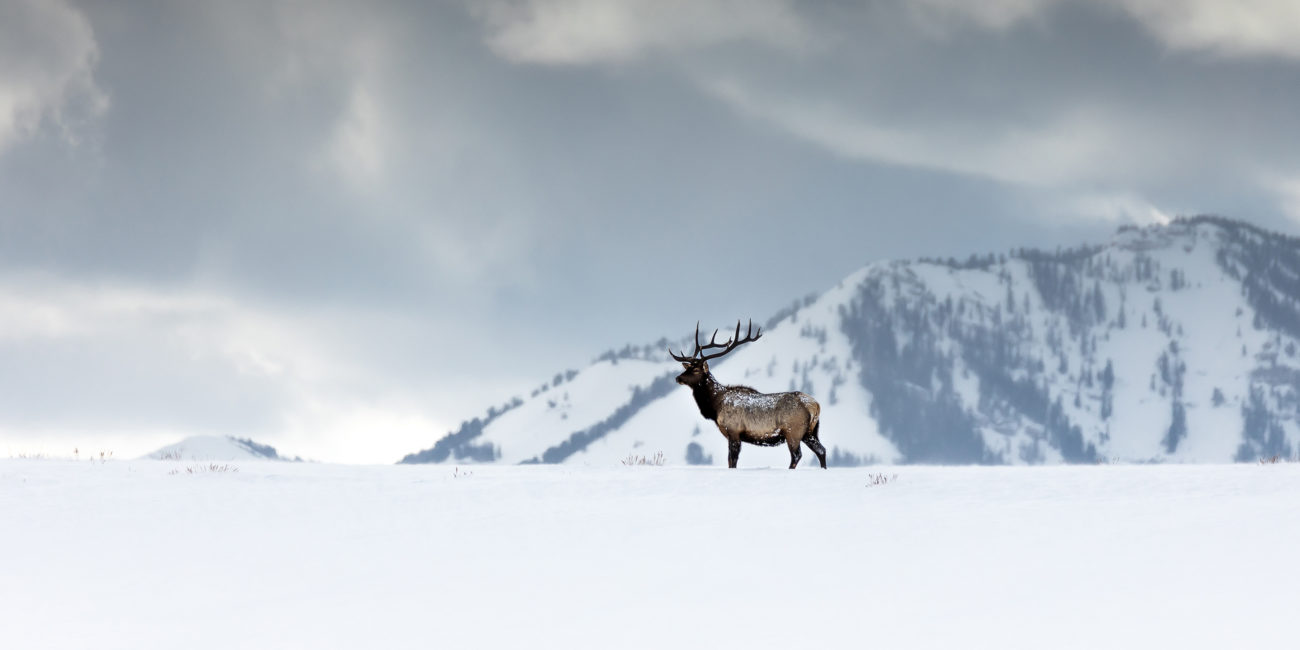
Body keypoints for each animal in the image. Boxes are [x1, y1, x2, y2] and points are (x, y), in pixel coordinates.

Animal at [670, 320, 826, 469]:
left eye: (696, 370)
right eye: (687, 368)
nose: (678, 378)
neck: (715, 405)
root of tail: (815, 405)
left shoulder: (733, 430)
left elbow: (732, 461)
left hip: (793, 430)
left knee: (797, 455)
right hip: (811, 431)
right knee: (821, 450)